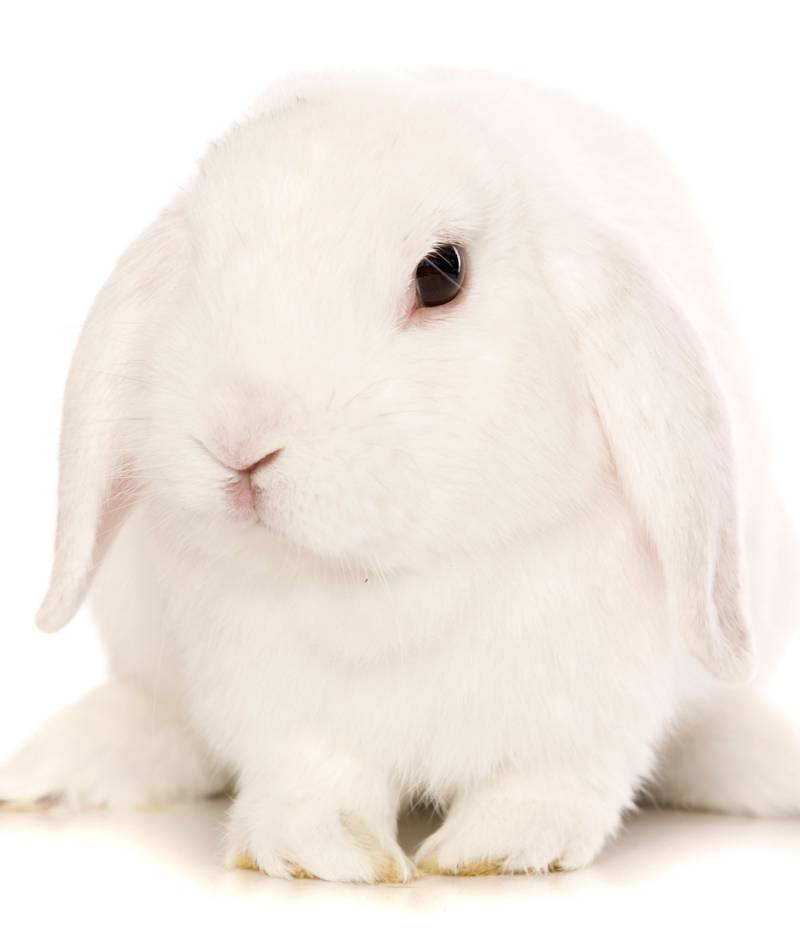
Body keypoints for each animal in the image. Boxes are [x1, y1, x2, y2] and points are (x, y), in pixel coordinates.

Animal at [2, 69, 799, 882]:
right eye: (199, 260)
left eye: (441, 274)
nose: (239, 436)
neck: (383, 583)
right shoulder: (280, 707)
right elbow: (314, 779)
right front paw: (325, 856)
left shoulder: (590, 707)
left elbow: (548, 780)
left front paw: (493, 852)